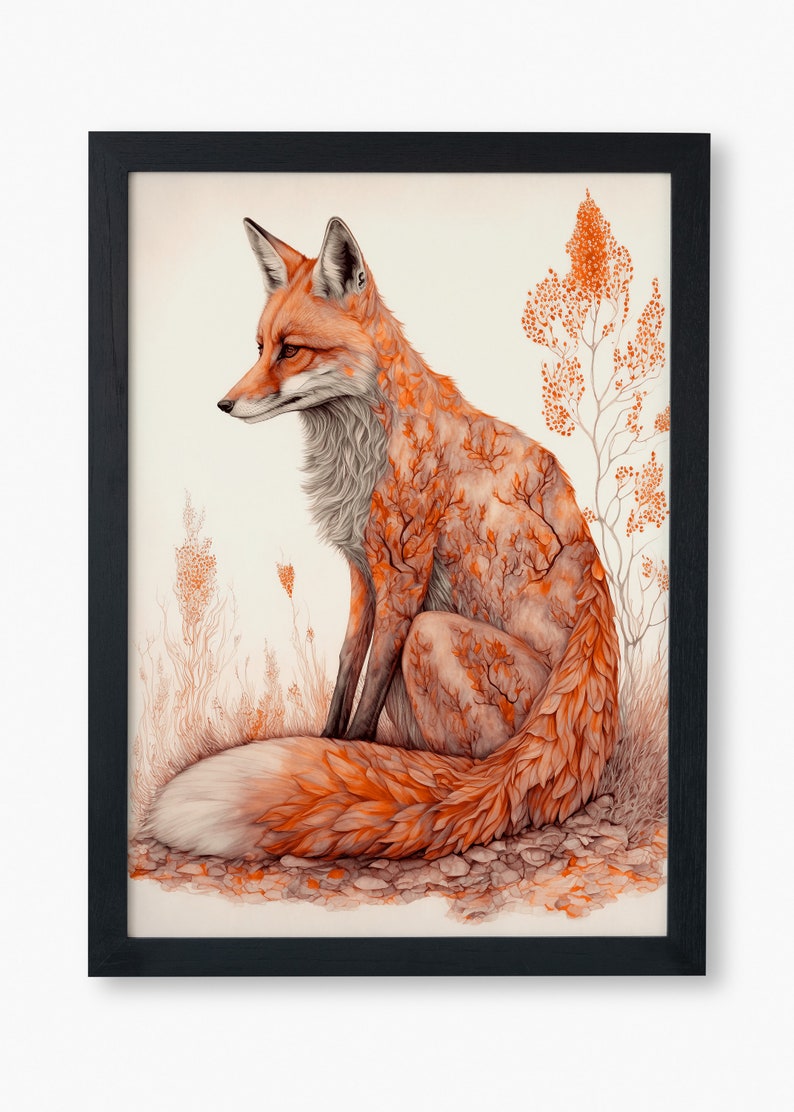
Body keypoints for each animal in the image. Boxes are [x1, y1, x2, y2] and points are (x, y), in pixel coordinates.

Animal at [146, 216, 620, 861]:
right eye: (259, 347)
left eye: (290, 349)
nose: (224, 404)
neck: (362, 451)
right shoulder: (363, 573)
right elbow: (347, 669)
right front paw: (330, 745)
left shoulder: (404, 575)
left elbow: (366, 694)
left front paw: (351, 758)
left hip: (431, 634)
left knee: (473, 772)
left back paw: (427, 780)